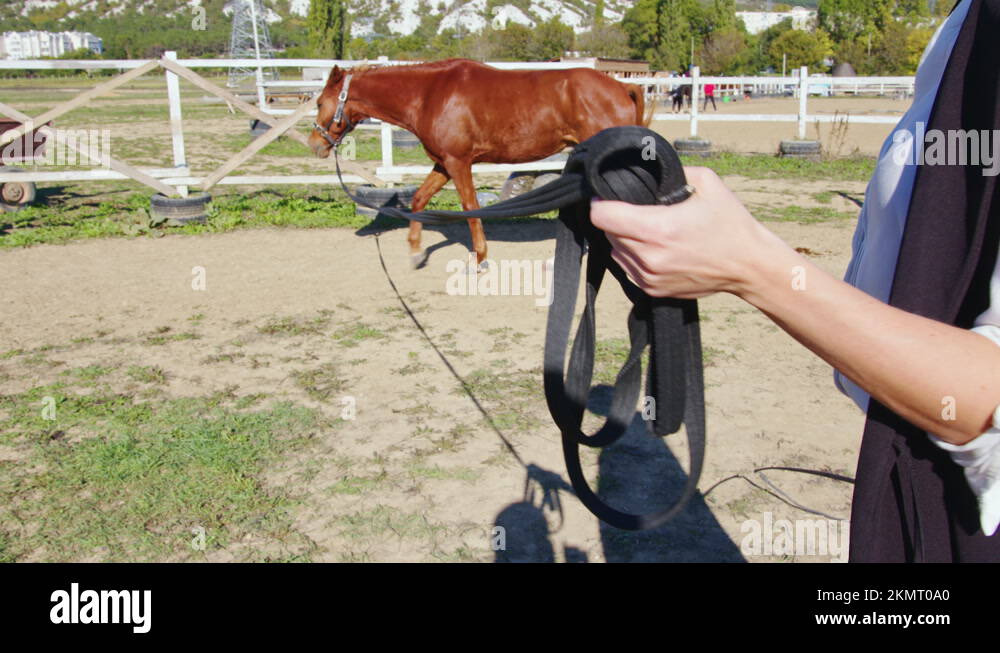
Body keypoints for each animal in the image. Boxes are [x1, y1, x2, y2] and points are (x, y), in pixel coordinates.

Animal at [309, 58, 650, 269]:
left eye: (320, 101)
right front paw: (416, 253)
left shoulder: (459, 163)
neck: (430, 94)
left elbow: (470, 207)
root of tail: (623, 87)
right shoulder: (443, 164)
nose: (315, 144)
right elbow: (419, 199)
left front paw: (479, 259)